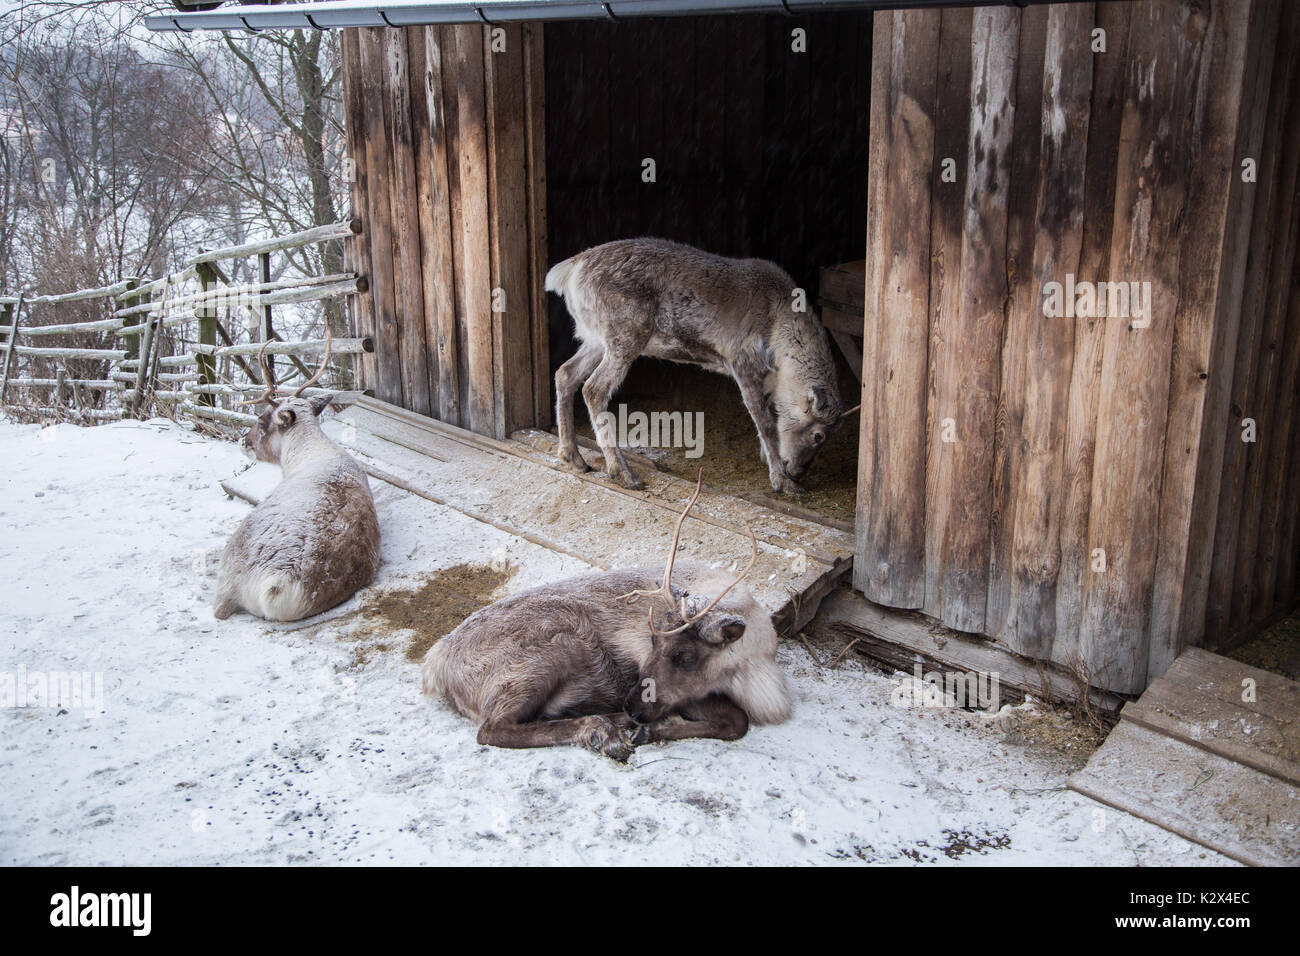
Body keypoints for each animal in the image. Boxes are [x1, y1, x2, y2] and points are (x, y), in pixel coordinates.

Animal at [421, 473, 791, 760]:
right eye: (652, 640)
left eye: (686, 657)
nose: (633, 708)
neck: (754, 664)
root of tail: (434, 664)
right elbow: (737, 719)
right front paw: (649, 729)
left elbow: (734, 719)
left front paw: (649, 729)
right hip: (548, 655)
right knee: (492, 729)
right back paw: (603, 730)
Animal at [546, 238, 857, 495]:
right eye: (818, 434)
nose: (797, 472)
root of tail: (570, 270)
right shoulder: (742, 361)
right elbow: (766, 422)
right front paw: (782, 482)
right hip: (625, 334)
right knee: (594, 388)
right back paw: (623, 473)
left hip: (595, 339)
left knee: (565, 374)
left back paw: (573, 456)